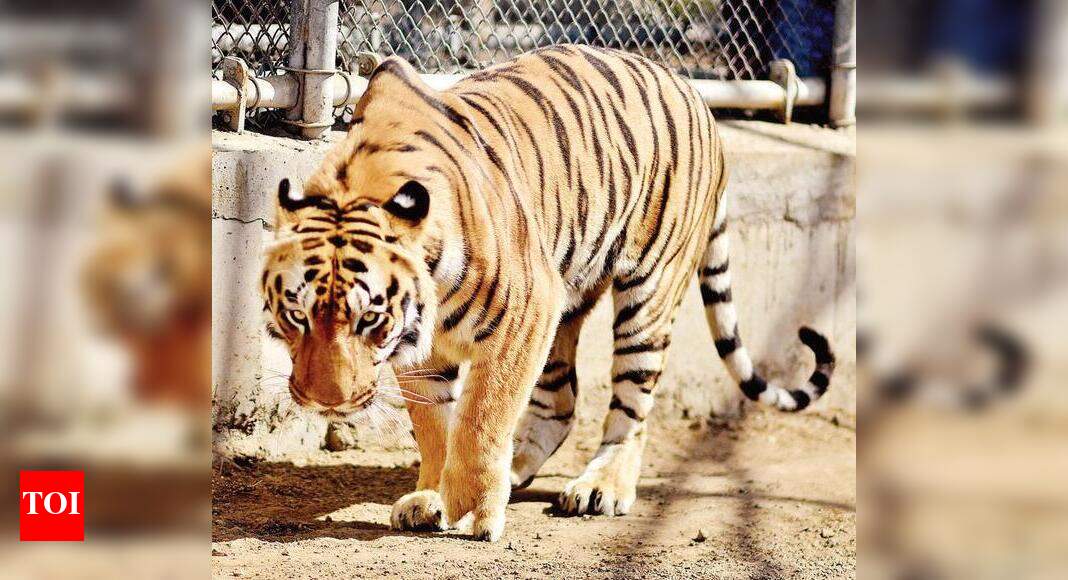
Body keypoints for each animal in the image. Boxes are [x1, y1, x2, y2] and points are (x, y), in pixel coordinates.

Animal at [261, 45, 835, 542]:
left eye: (368, 320)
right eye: (297, 315)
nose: (326, 402)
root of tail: (700, 100)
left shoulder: (523, 312)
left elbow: (482, 415)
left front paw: (468, 505)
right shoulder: (433, 343)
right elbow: (434, 422)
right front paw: (433, 496)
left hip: (646, 293)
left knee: (632, 406)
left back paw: (600, 488)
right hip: (567, 300)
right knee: (561, 401)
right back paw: (517, 468)